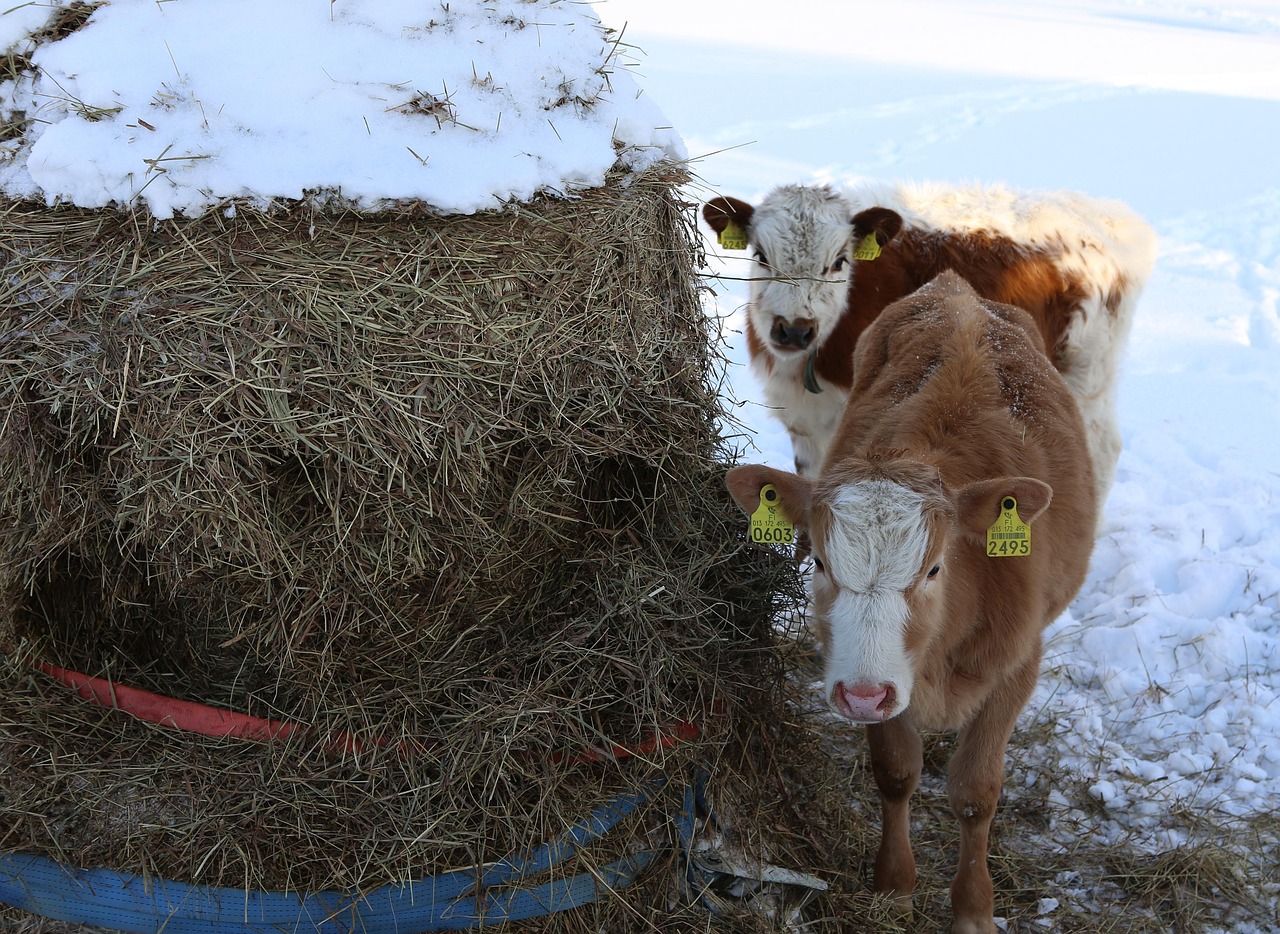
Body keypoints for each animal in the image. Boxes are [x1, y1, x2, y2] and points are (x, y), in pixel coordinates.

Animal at [704, 181, 1156, 527]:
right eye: (761, 255)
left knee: (1101, 449)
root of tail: (1113, 217)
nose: (794, 329)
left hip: (1087, 370)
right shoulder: (805, 422)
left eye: (839, 261)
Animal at [726, 271, 1097, 933]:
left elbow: (975, 793)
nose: (861, 697)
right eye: (820, 564)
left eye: (934, 568)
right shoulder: (877, 672)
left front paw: (974, 909)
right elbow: (897, 771)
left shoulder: (1016, 664)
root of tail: (958, 292)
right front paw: (893, 886)